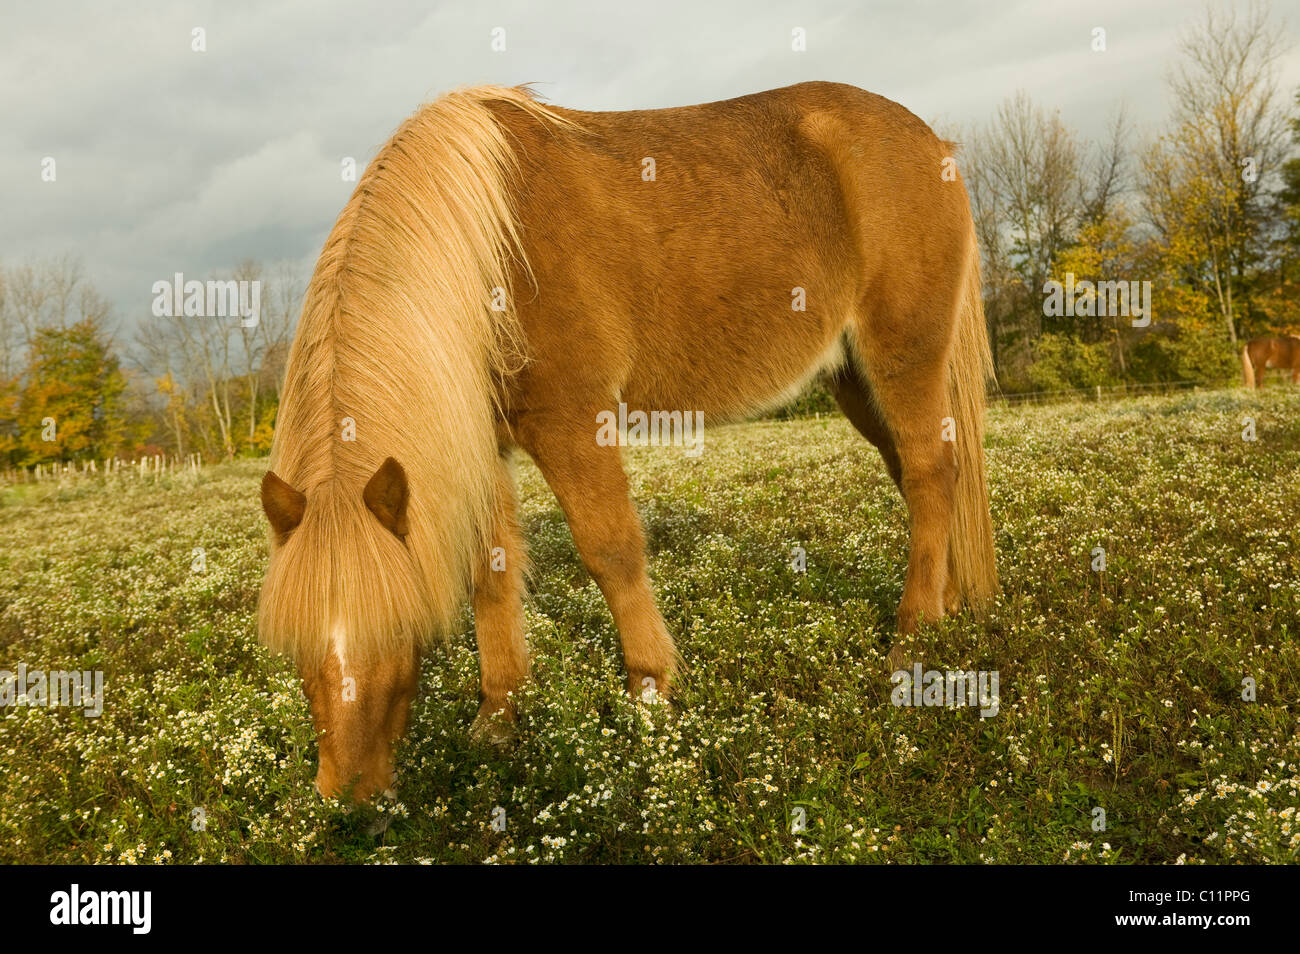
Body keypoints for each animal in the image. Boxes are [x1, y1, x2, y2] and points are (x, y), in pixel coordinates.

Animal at [257, 82, 999, 800]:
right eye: (295, 647)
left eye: (396, 625)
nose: (347, 797)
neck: (485, 248)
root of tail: (934, 144)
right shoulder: (484, 446)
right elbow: (489, 573)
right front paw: (499, 716)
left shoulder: (571, 421)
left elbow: (610, 550)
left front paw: (650, 691)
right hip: (854, 378)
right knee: (925, 479)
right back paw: (946, 607)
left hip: (903, 360)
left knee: (930, 474)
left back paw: (912, 638)